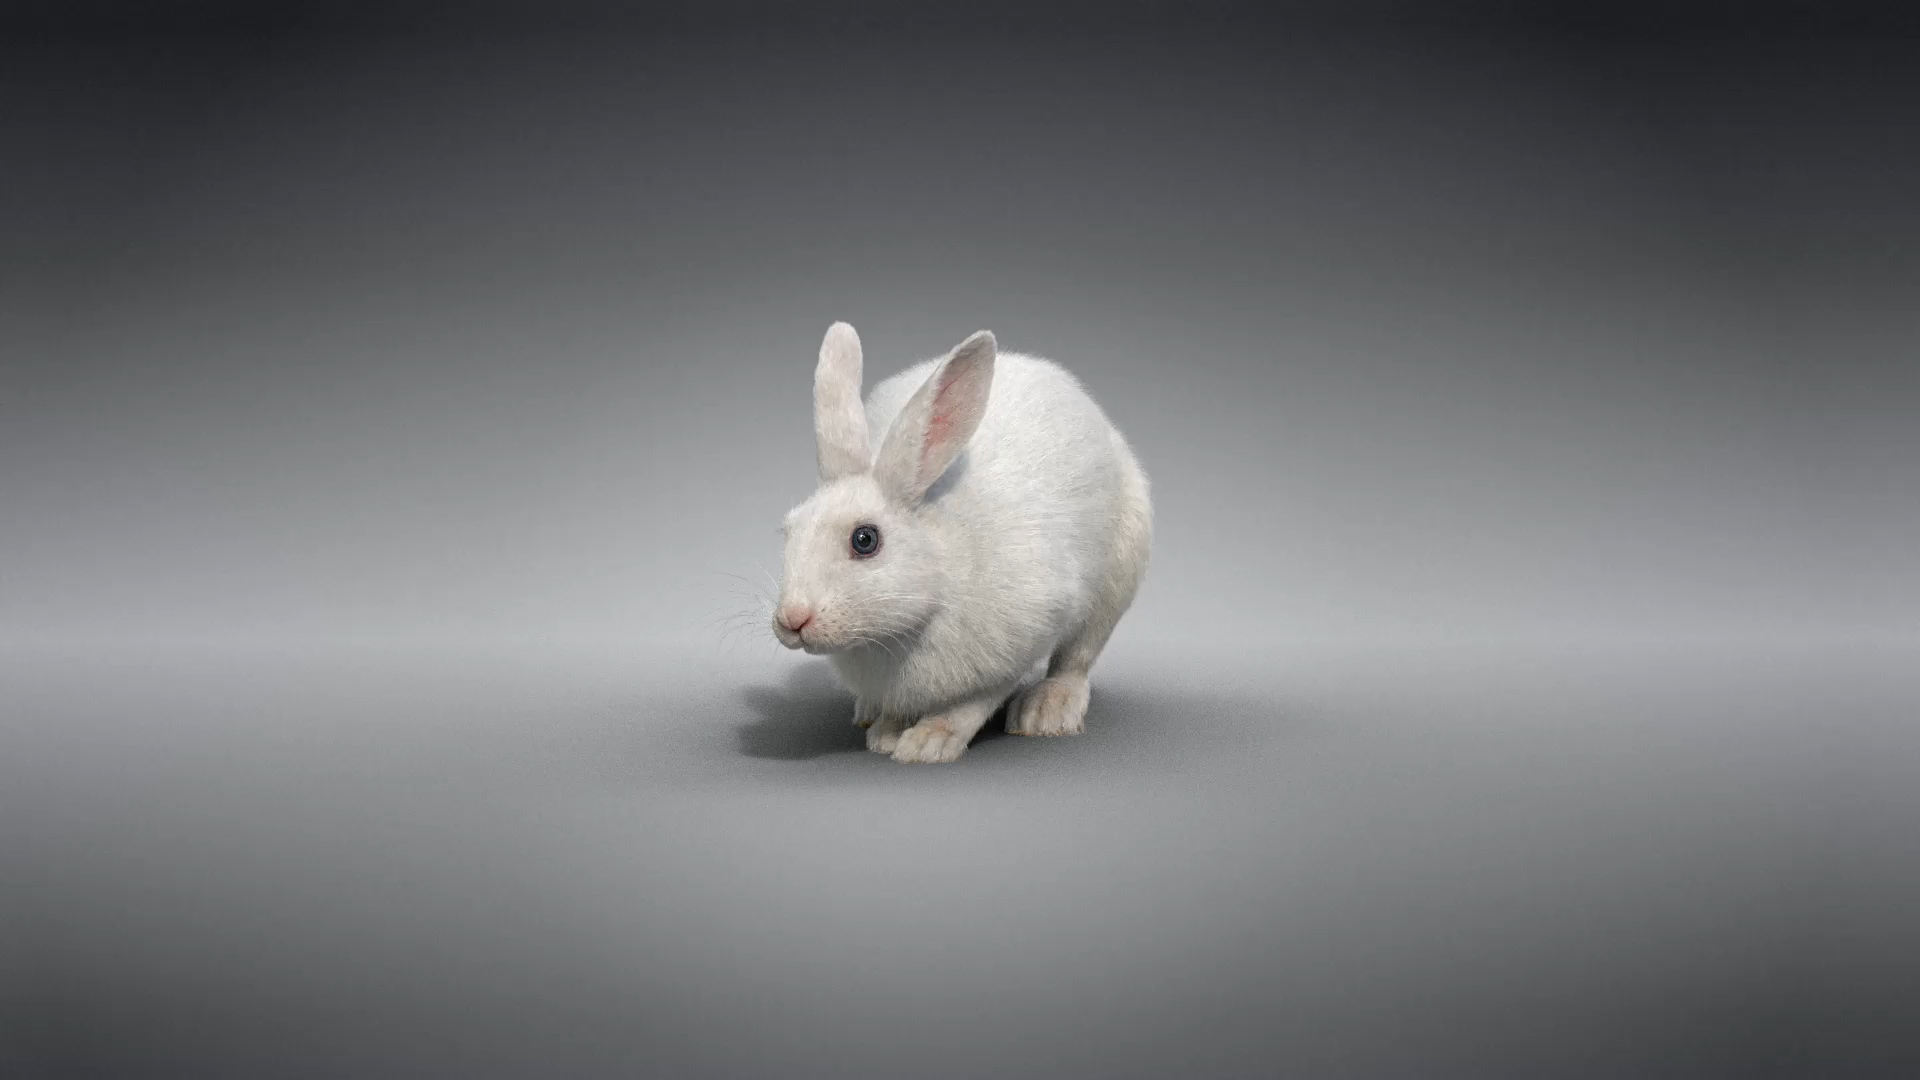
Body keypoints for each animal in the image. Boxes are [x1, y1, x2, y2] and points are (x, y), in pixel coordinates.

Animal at [771, 321, 1152, 764]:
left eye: (865, 540)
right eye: (788, 529)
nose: (792, 620)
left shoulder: (1022, 638)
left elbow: (974, 702)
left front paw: (926, 743)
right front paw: (886, 734)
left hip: (1116, 578)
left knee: (1076, 658)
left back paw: (1047, 710)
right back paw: (866, 712)